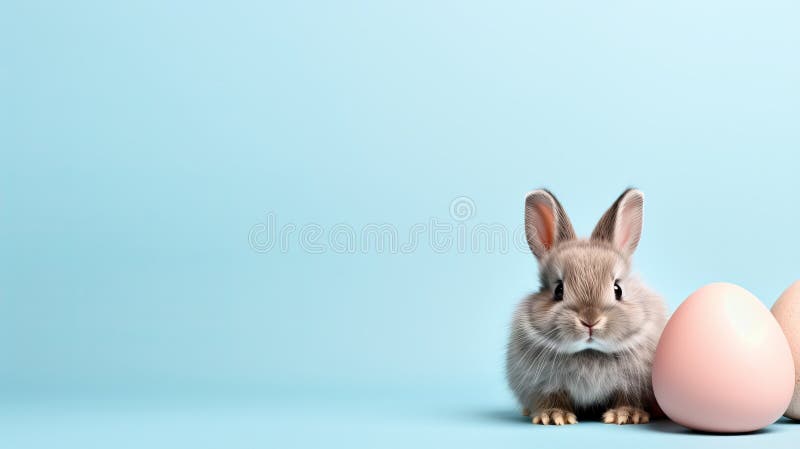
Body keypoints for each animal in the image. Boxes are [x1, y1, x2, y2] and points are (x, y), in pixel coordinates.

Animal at [506, 188, 667, 425]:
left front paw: (626, 415)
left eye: (618, 289)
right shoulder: (543, 385)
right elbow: (551, 398)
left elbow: (627, 398)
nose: (590, 321)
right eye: (558, 290)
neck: (589, 351)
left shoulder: (632, 385)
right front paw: (554, 416)